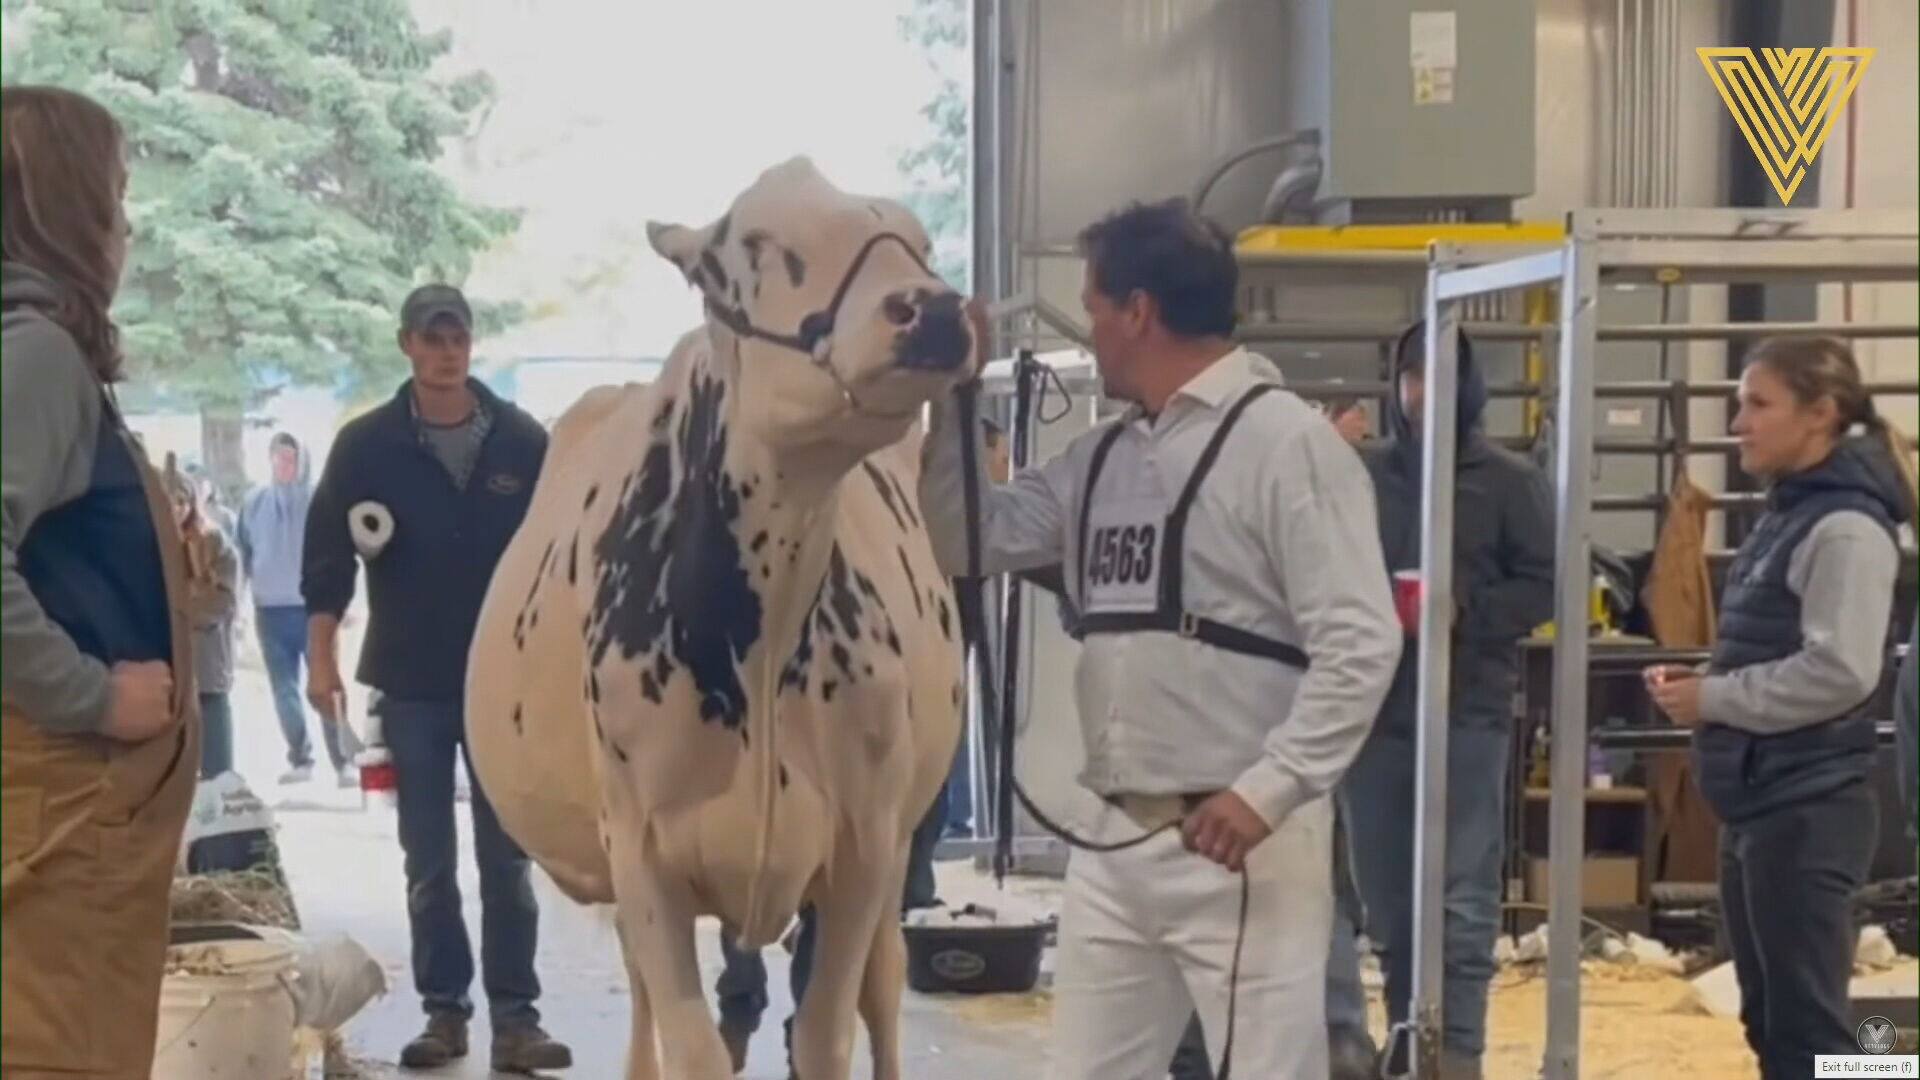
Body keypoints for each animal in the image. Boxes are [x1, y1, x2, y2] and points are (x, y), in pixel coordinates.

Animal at [466, 157, 973, 1080]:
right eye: (756, 242)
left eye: (918, 241)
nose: (935, 310)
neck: (761, 642)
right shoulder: (641, 855)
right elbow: (691, 1042)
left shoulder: (863, 847)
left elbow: (824, 1029)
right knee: (649, 1003)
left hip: (899, 843)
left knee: (883, 987)